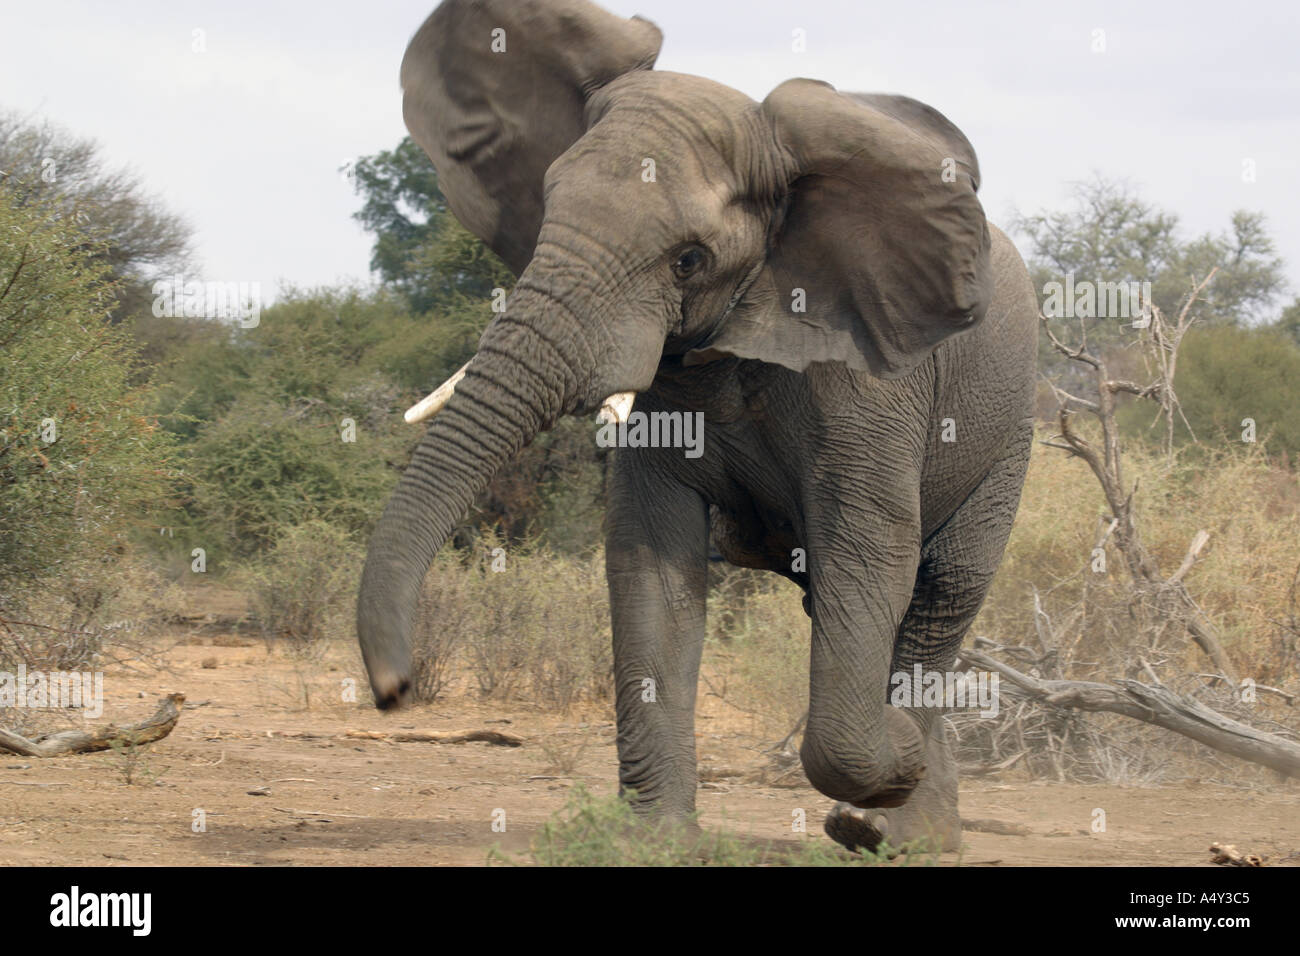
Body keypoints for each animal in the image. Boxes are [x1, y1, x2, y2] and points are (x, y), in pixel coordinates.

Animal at [356, 0, 1038, 853]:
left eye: (688, 260)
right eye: (546, 207)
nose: (394, 689)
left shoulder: (868, 380)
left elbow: (869, 547)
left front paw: (893, 749)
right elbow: (649, 554)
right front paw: (650, 842)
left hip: (1012, 427)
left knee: (942, 591)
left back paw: (898, 828)